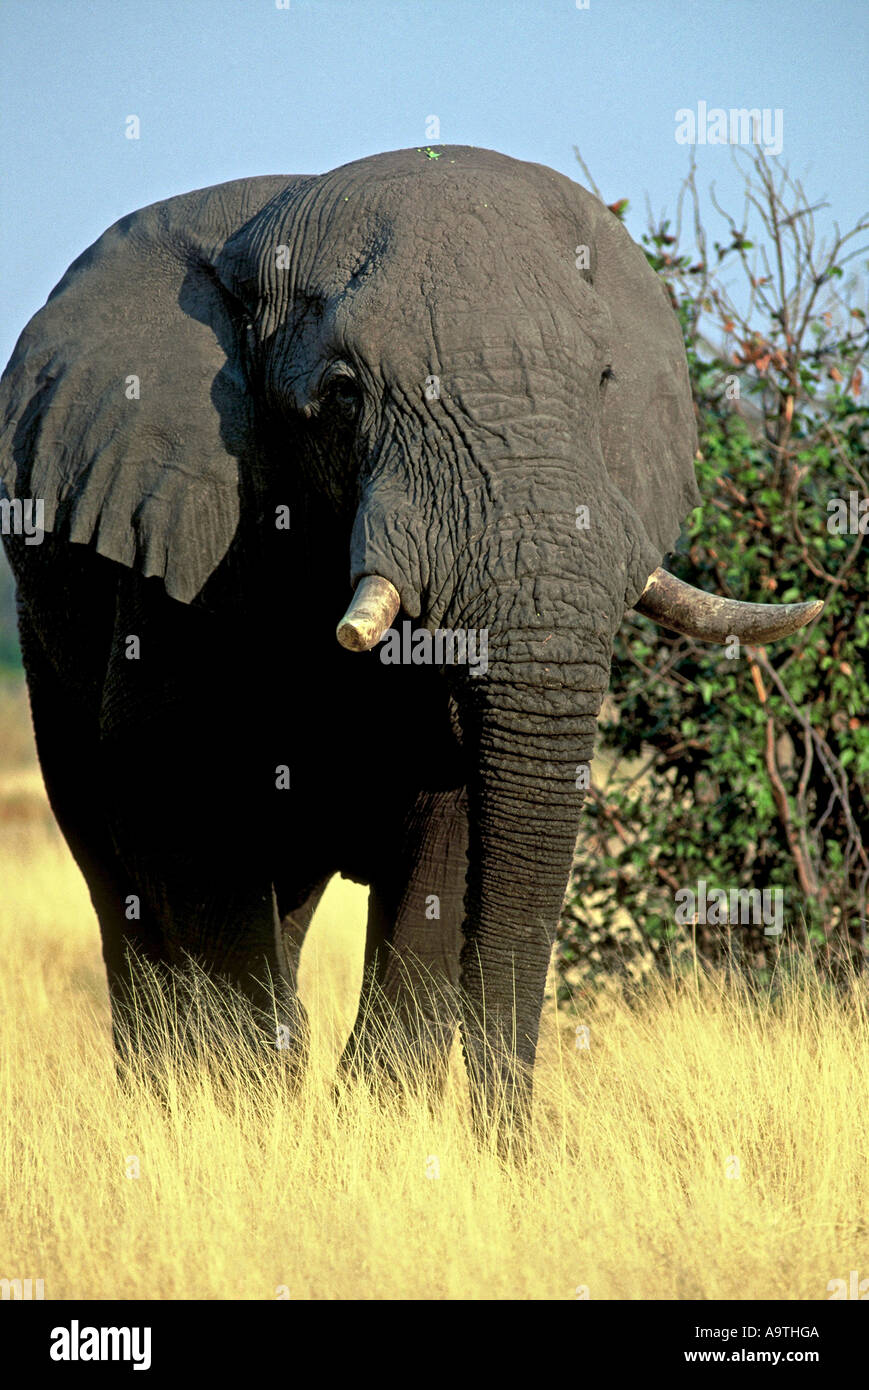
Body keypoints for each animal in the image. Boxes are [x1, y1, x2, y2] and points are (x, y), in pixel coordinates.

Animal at [0, 146, 821, 1146]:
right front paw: (254, 1113)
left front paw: (376, 1123)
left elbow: (453, 822)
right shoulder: (176, 542)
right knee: (117, 878)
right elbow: (189, 801)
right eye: (343, 397)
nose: (515, 1149)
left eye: (601, 382)